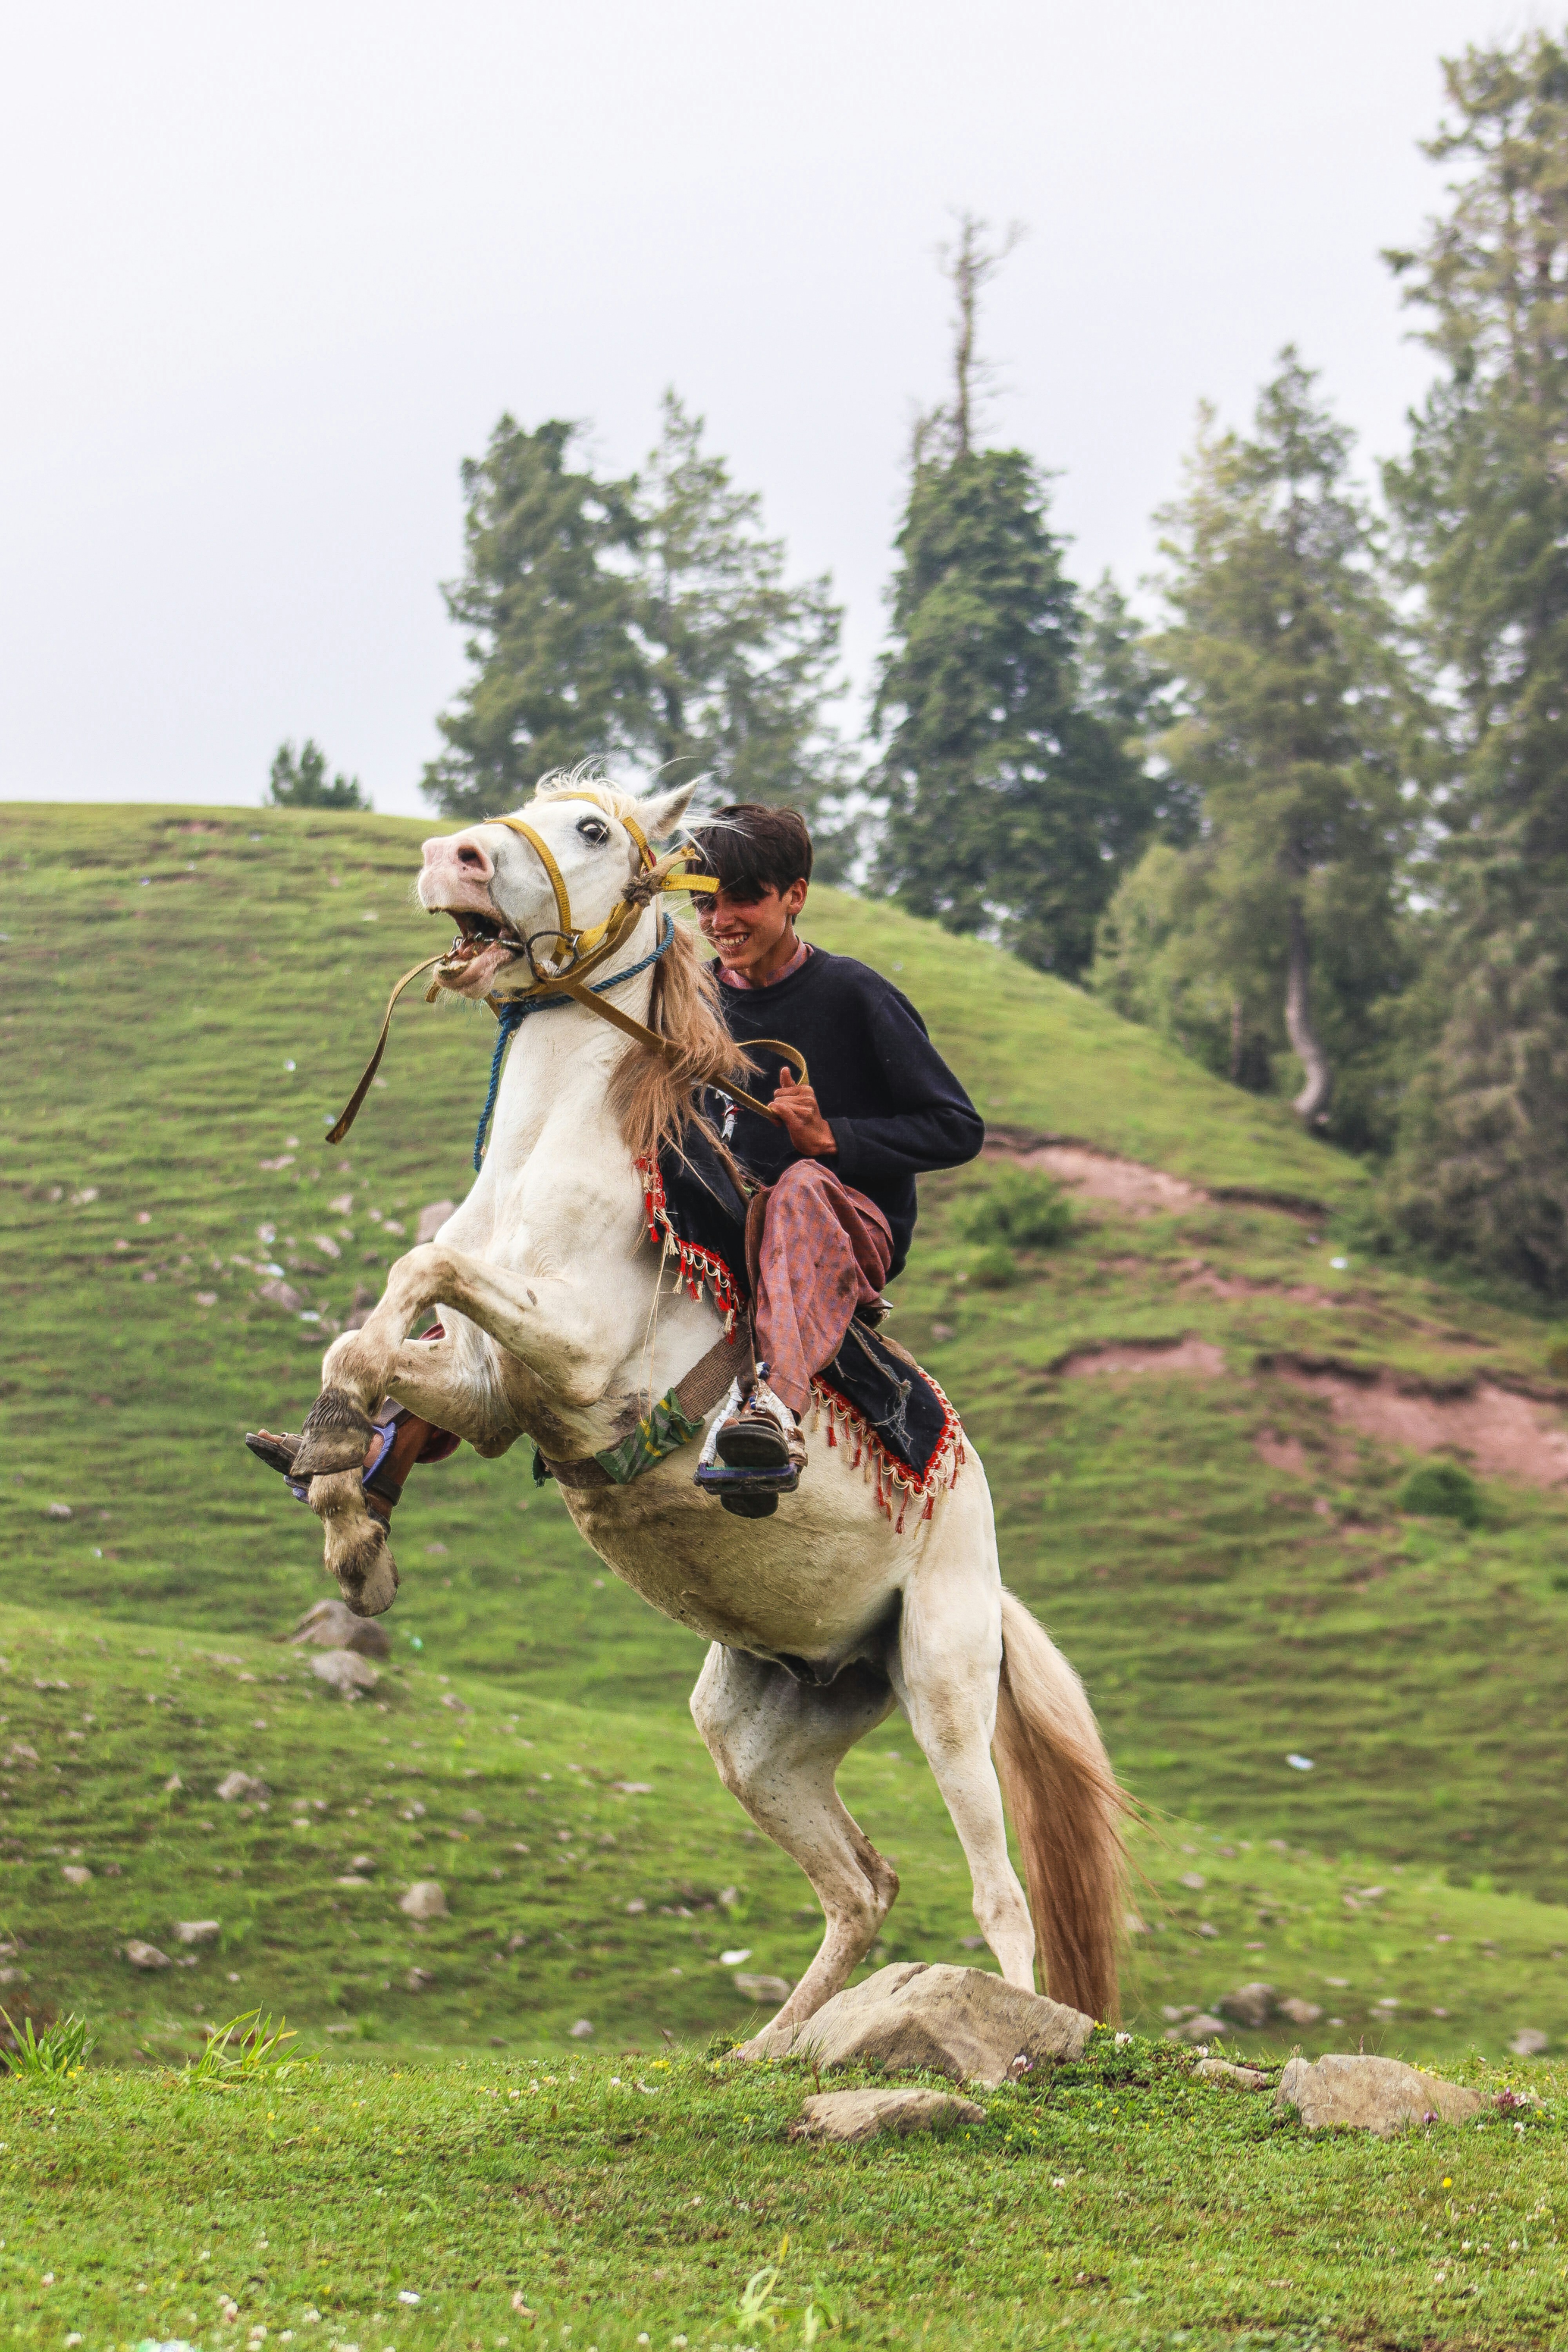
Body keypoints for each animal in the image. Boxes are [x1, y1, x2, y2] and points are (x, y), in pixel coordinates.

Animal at [286, 774, 1125, 2046]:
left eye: (592, 828)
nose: (452, 858)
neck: (547, 1167)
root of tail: (983, 1562)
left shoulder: (578, 1359)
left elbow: (423, 1269)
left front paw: (343, 1474)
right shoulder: (488, 1392)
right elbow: (377, 1324)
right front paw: (346, 1499)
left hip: (942, 1683)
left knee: (999, 1893)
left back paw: (1009, 2027)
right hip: (763, 1730)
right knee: (863, 1883)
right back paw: (772, 2047)